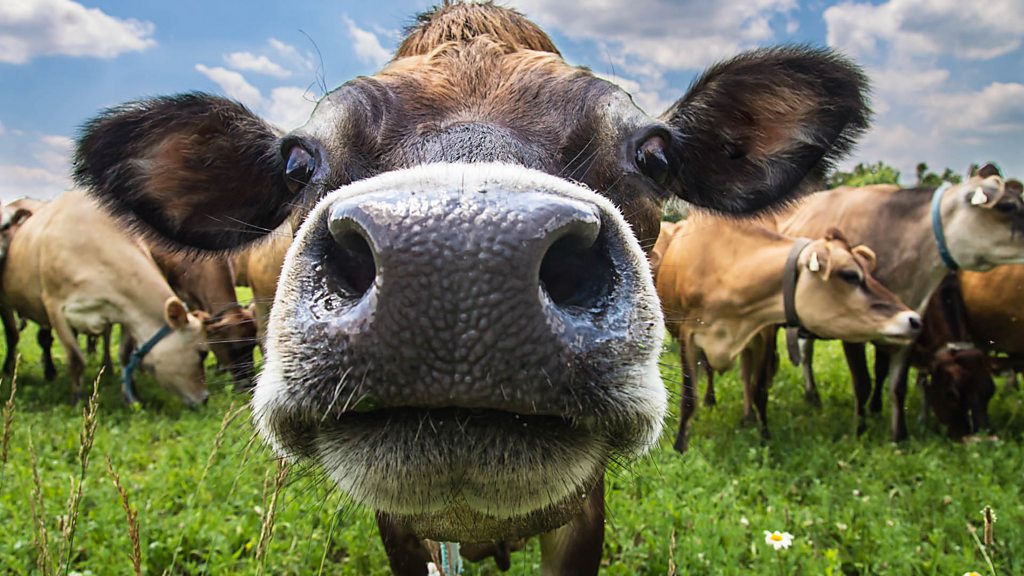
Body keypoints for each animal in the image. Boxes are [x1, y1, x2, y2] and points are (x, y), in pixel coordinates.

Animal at [0, 189, 210, 404]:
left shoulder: (126, 312)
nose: (205, 398)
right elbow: (76, 358)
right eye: (202, 353)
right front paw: (77, 399)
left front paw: (131, 397)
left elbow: (125, 355)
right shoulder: (55, 307)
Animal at [656, 215, 919, 451]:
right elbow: (689, 397)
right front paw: (680, 445)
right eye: (850, 275)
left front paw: (764, 436)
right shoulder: (687, 337)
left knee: (745, 375)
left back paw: (747, 416)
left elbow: (759, 389)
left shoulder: (763, 334)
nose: (914, 319)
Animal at [778, 164, 1024, 442]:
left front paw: (898, 435)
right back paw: (812, 395)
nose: (981, 440)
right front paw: (860, 430)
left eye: (989, 390)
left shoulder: (910, 327)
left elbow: (895, 384)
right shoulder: (850, 330)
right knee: (805, 354)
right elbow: (862, 383)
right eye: (951, 392)